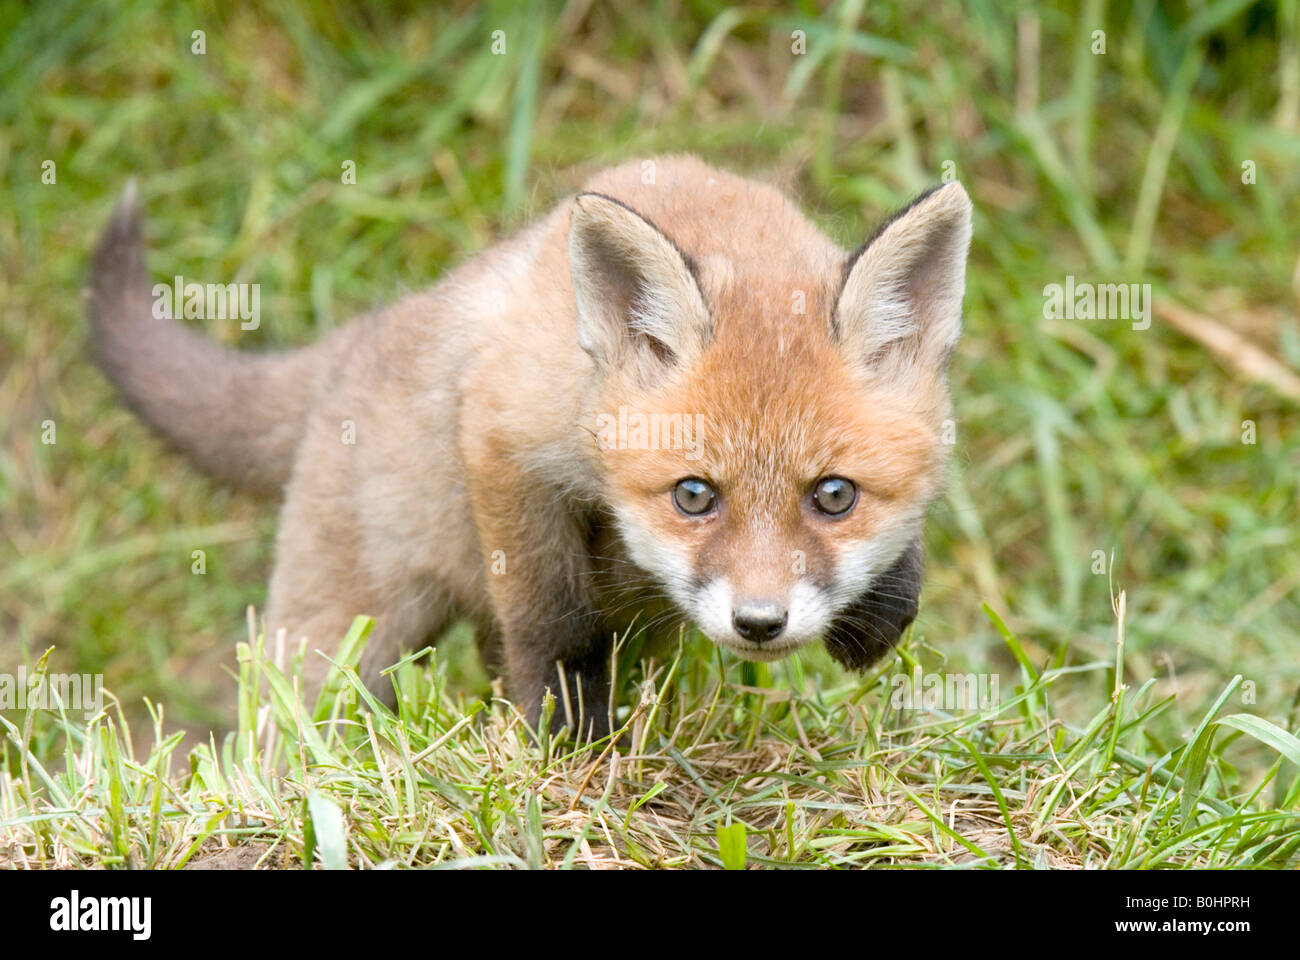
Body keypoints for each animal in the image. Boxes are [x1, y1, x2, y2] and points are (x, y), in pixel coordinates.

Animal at [87, 156, 972, 739]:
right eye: (694, 495)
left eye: (834, 496)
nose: (759, 624)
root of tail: (358, 338)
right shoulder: (503, 435)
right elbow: (552, 621)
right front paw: (564, 735)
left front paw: (883, 611)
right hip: (343, 638)